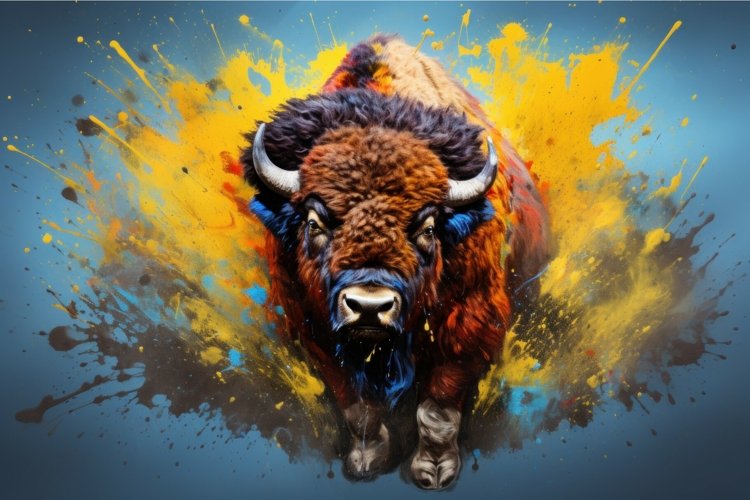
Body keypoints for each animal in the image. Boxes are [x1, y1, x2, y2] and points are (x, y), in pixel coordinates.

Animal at [241, 35, 549, 489]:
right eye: (314, 222)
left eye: (428, 226)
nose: (369, 307)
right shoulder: (315, 329)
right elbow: (358, 408)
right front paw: (366, 462)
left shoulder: (470, 321)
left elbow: (437, 409)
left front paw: (434, 471)